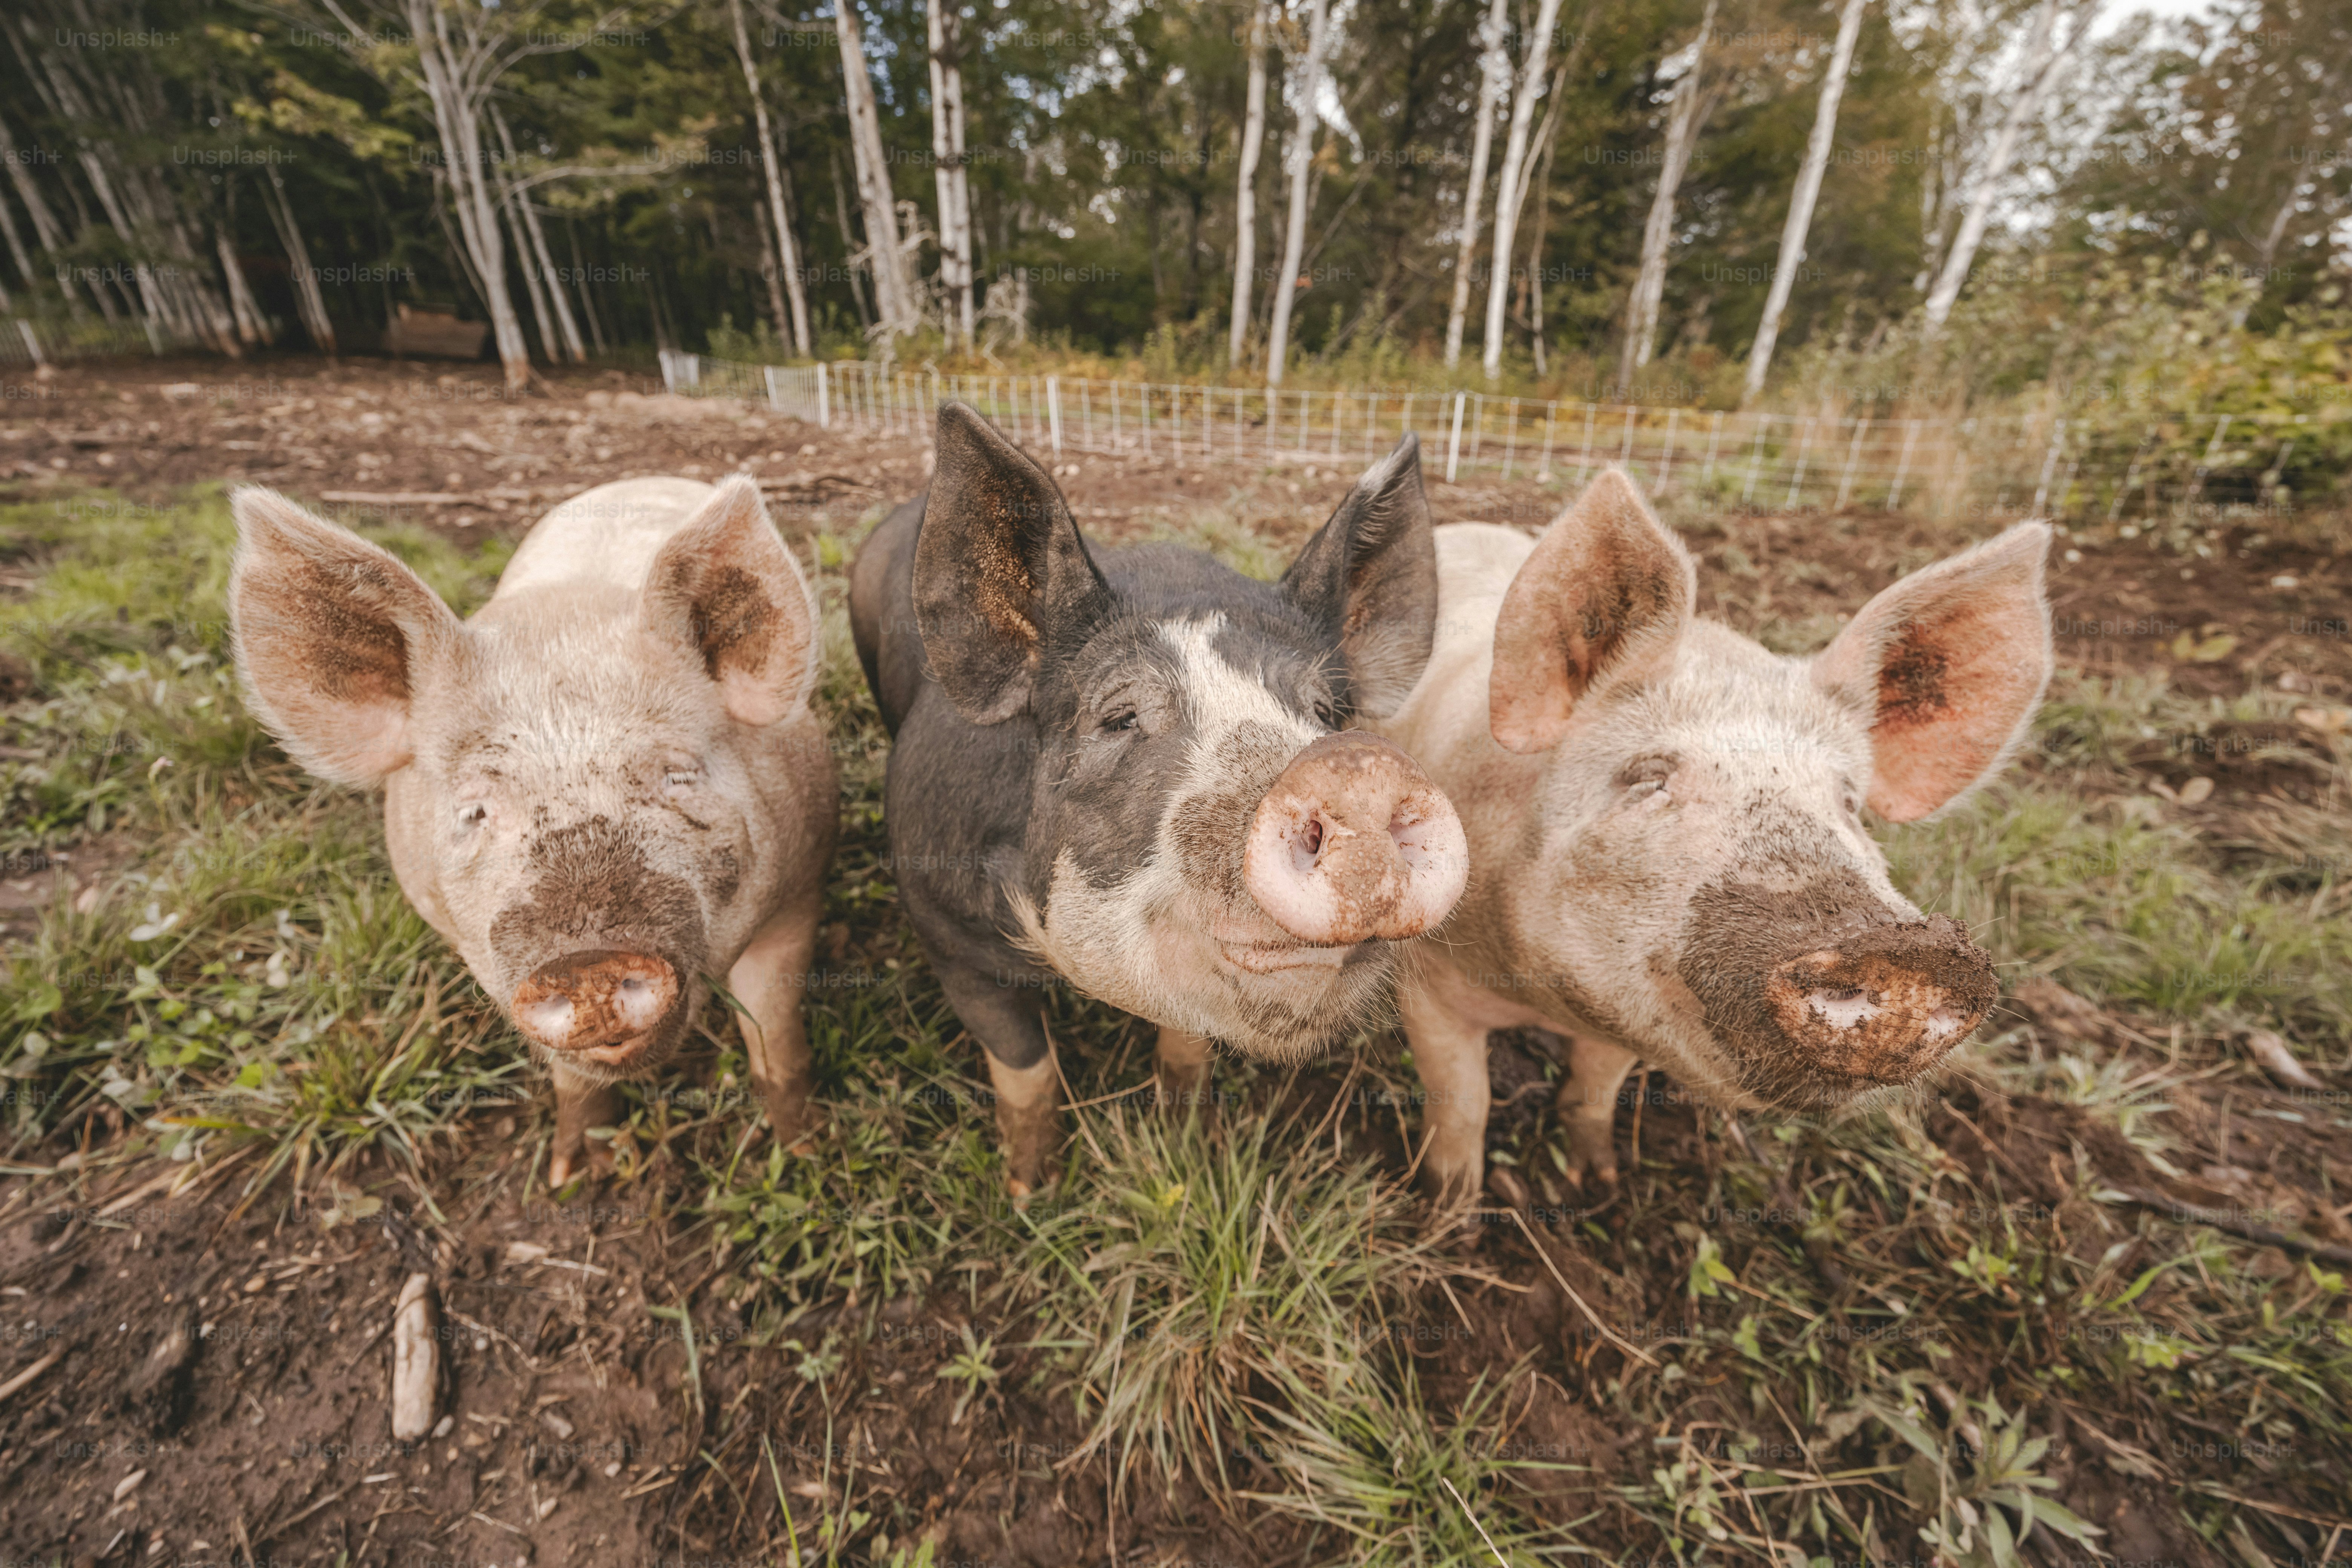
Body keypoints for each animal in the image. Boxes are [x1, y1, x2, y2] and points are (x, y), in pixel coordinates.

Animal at [229, 476, 837, 1187]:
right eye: (474, 812)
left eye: (679, 775)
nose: (587, 963)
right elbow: (572, 1077)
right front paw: (575, 1175)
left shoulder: (800, 885)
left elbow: (776, 1036)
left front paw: (808, 1156)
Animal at [849, 403, 1469, 1195]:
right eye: (1120, 718)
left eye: (1328, 714)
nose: (1354, 770)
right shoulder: (944, 932)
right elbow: (1025, 1068)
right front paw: (1028, 1192)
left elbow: (1186, 1046)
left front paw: (1186, 1143)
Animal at [1370, 469, 2051, 1208]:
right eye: (1649, 778)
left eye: (1848, 804)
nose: (1912, 953)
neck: (1546, 1006)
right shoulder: (1429, 977)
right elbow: (1464, 1101)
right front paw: (1449, 1207)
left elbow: (1595, 1090)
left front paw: (1598, 1182)